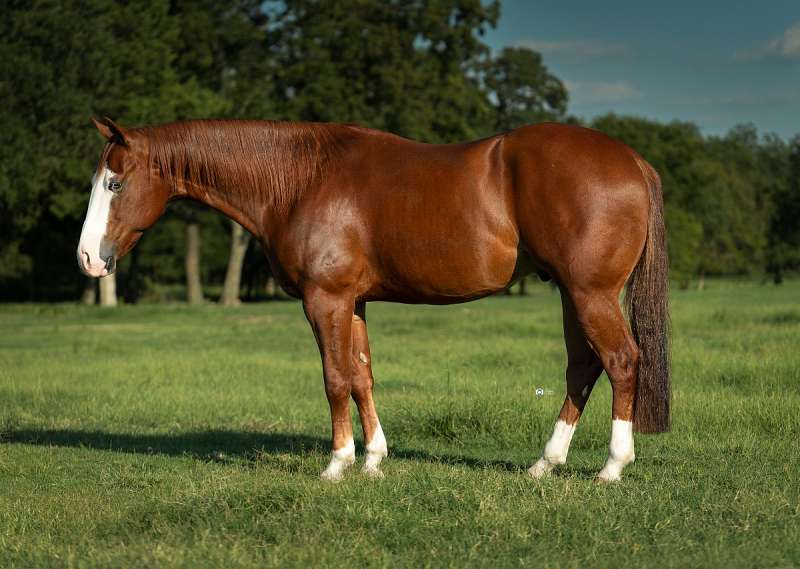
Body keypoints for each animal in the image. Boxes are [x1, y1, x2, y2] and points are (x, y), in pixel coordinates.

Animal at [77, 117, 670, 482]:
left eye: (114, 183)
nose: (88, 258)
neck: (300, 180)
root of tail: (634, 160)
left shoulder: (325, 300)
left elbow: (335, 378)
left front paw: (337, 463)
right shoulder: (354, 303)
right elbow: (361, 375)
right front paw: (373, 459)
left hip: (590, 294)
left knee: (621, 361)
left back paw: (612, 466)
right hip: (572, 294)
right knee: (582, 368)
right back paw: (545, 464)